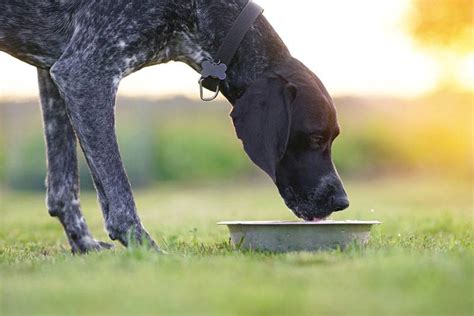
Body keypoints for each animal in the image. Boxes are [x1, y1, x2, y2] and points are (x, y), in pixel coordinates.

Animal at [0, 0, 348, 252]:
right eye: (315, 137)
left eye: (333, 138)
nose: (342, 201)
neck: (198, 12)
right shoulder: (84, 73)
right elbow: (119, 191)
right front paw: (145, 249)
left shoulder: (54, 72)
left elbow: (66, 187)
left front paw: (84, 245)